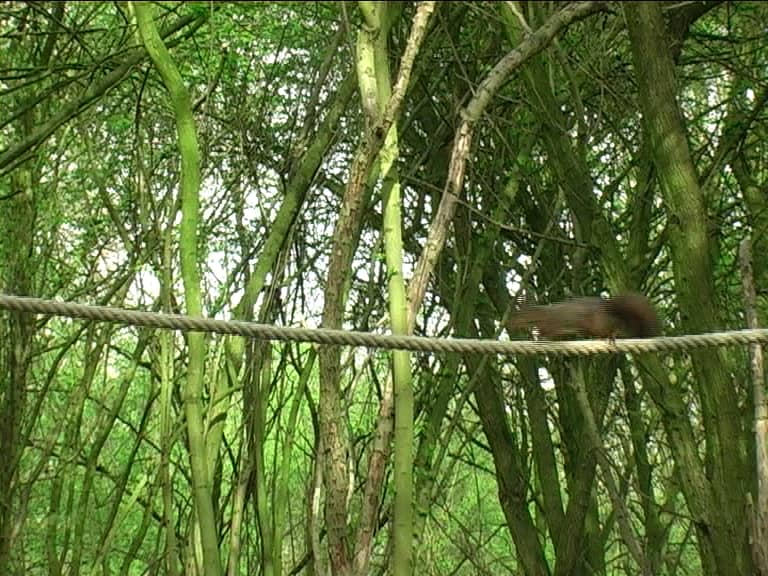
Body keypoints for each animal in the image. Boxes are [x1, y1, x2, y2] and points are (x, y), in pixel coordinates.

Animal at [509, 292, 661, 340]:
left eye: (518, 315)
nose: (508, 323)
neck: (543, 314)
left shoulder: (554, 323)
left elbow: (550, 333)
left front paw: (538, 335)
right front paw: (536, 332)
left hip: (601, 323)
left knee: (617, 325)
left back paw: (613, 335)